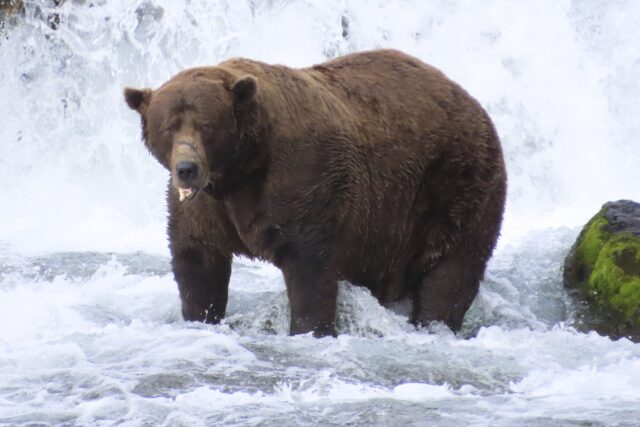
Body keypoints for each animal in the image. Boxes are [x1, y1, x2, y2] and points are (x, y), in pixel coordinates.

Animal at [124, 49, 507, 337]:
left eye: (206, 126)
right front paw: (201, 315)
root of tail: (473, 103)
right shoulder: (205, 207)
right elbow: (198, 260)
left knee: (452, 270)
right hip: (387, 229)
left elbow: (309, 266)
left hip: (455, 183)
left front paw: (310, 328)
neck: (241, 169)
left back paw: (434, 322)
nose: (187, 168)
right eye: (168, 127)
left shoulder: (303, 179)